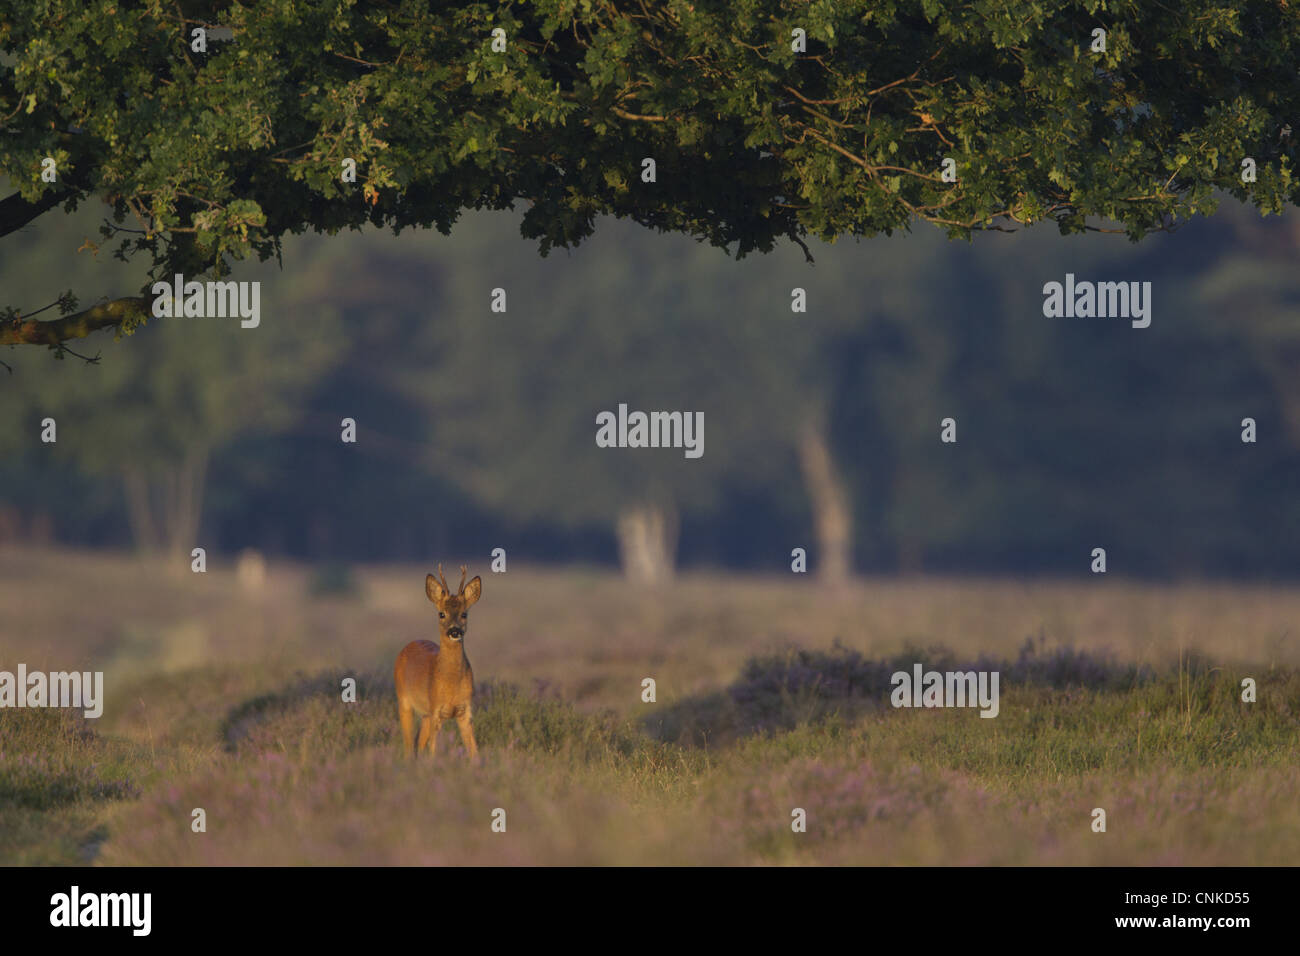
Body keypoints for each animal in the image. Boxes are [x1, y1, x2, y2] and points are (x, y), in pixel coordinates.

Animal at [394, 563, 482, 760]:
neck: (451, 684)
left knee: (418, 744)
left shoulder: (465, 711)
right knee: (408, 745)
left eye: (464, 614)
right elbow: (433, 751)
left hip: (425, 715)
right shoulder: (436, 711)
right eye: (441, 614)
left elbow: (474, 751)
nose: (454, 631)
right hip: (403, 700)